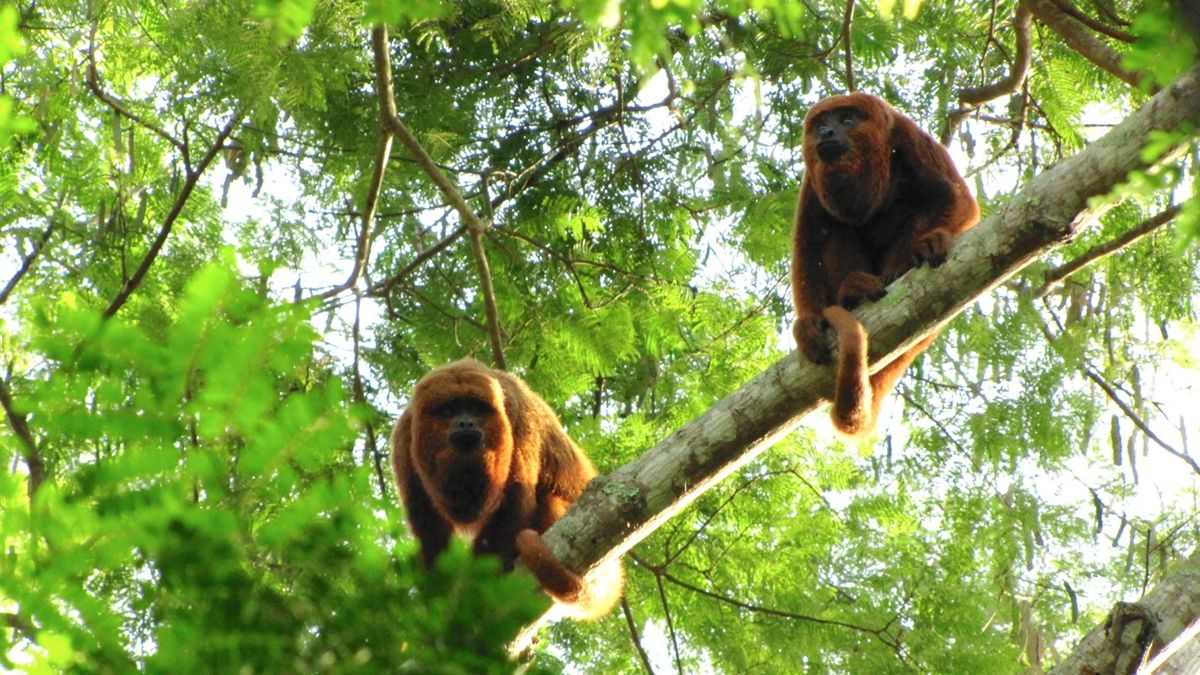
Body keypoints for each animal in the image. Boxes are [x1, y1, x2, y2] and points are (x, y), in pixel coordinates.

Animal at [390, 358, 622, 620]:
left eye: (475, 409)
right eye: (449, 411)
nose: (465, 422)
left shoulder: (521, 415)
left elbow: (515, 499)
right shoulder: (403, 436)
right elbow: (427, 524)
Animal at [791, 92, 980, 437]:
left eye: (846, 120)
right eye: (821, 123)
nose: (825, 133)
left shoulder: (908, 136)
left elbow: (957, 200)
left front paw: (930, 243)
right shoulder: (811, 181)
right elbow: (807, 248)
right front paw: (809, 324)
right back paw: (853, 292)